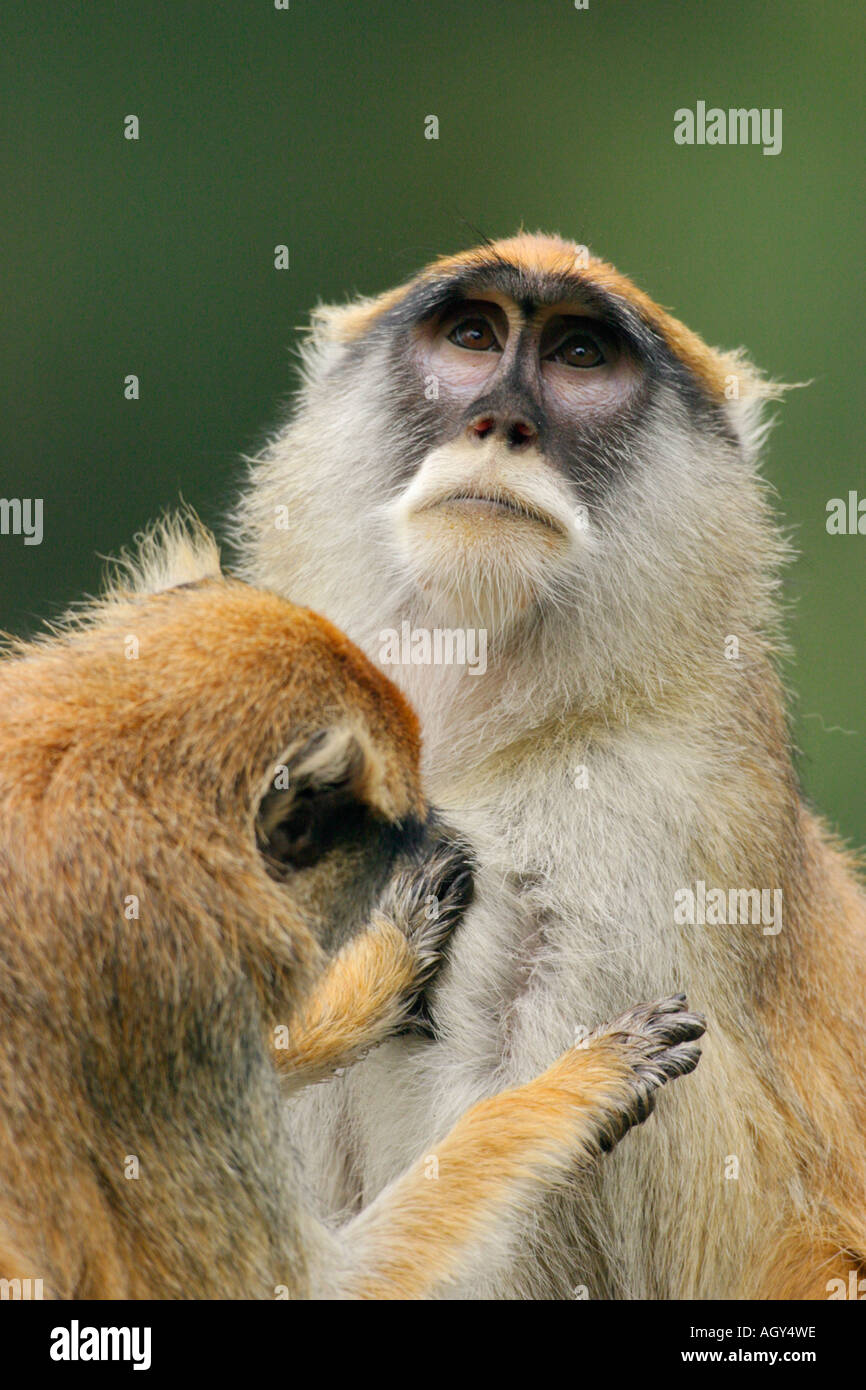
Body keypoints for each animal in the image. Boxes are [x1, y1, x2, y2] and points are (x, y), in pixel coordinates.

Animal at [0, 516, 705, 1299]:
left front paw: (389, 956)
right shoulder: (170, 995)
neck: (120, 769)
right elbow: (320, 1287)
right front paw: (577, 1089)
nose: (427, 834)